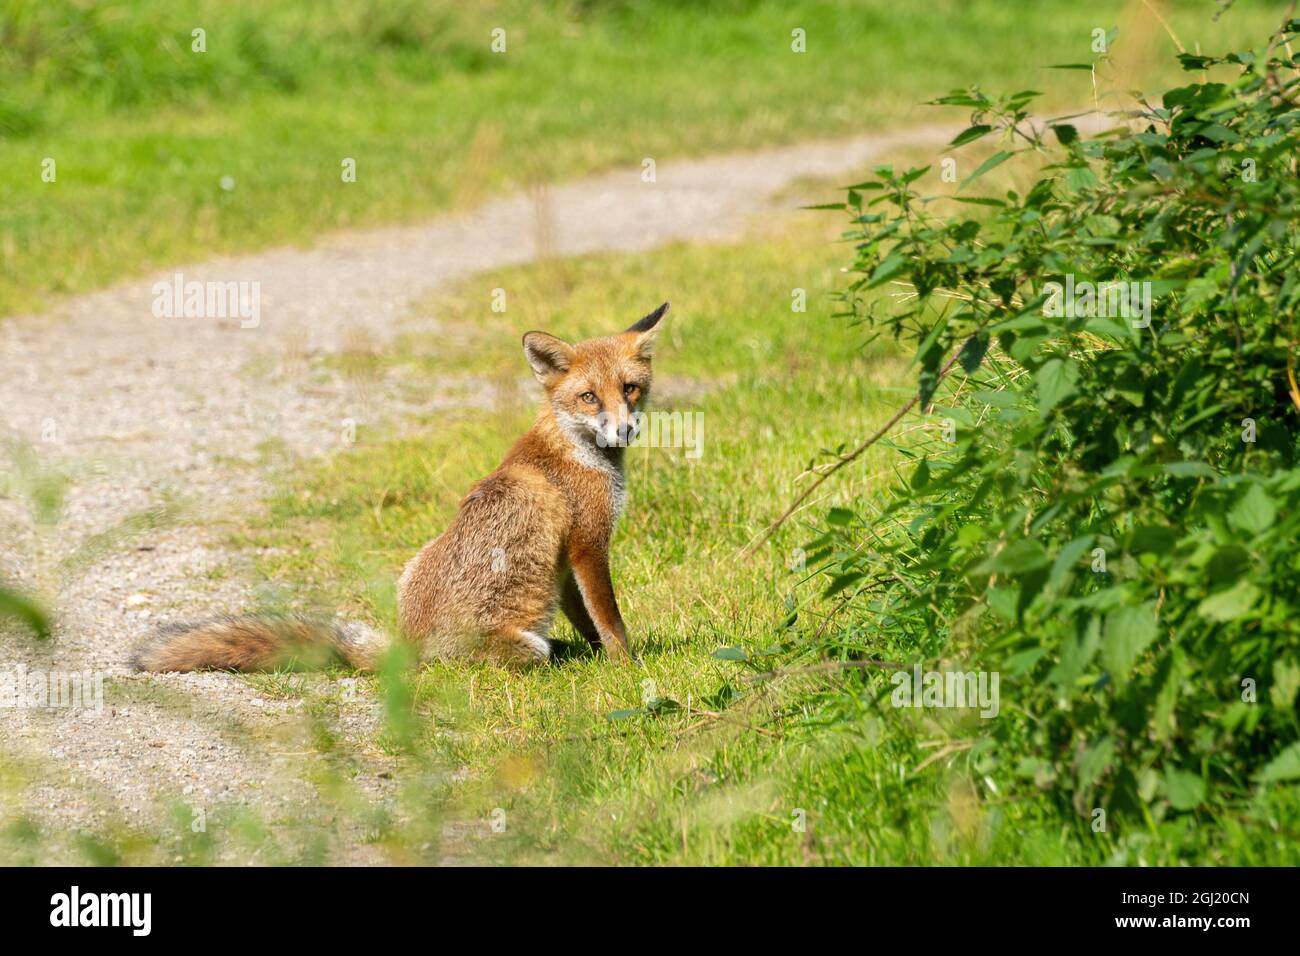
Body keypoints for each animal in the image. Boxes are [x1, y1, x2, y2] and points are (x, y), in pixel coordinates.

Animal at [130, 302, 671, 673]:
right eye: (588, 397)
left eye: (629, 389)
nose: (624, 430)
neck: (572, 450)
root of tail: (407, 646)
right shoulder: (588, 545)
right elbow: (611, 621)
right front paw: (626, 670)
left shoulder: (565, 565)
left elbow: (589, 620)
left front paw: (601, 660)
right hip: (526, 645)